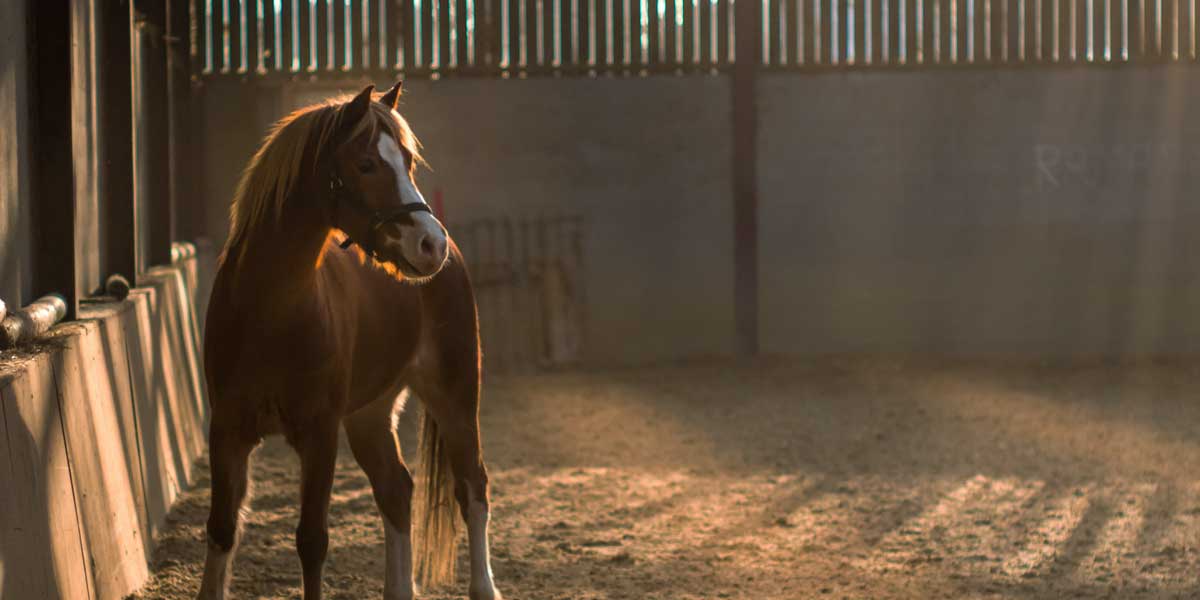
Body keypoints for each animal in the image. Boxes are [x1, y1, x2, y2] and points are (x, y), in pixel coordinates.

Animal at [198, 82, 501, 600]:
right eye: (366, 164)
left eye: (408, 162)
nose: (430, 243)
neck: (268, 310)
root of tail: (455, 258)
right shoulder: (228, 431)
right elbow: (221, 529)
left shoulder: (320, 434)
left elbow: (312, 541)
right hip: (369, 416)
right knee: (396, 490)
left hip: (455, 395)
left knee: (471, 486)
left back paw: (483, 587)